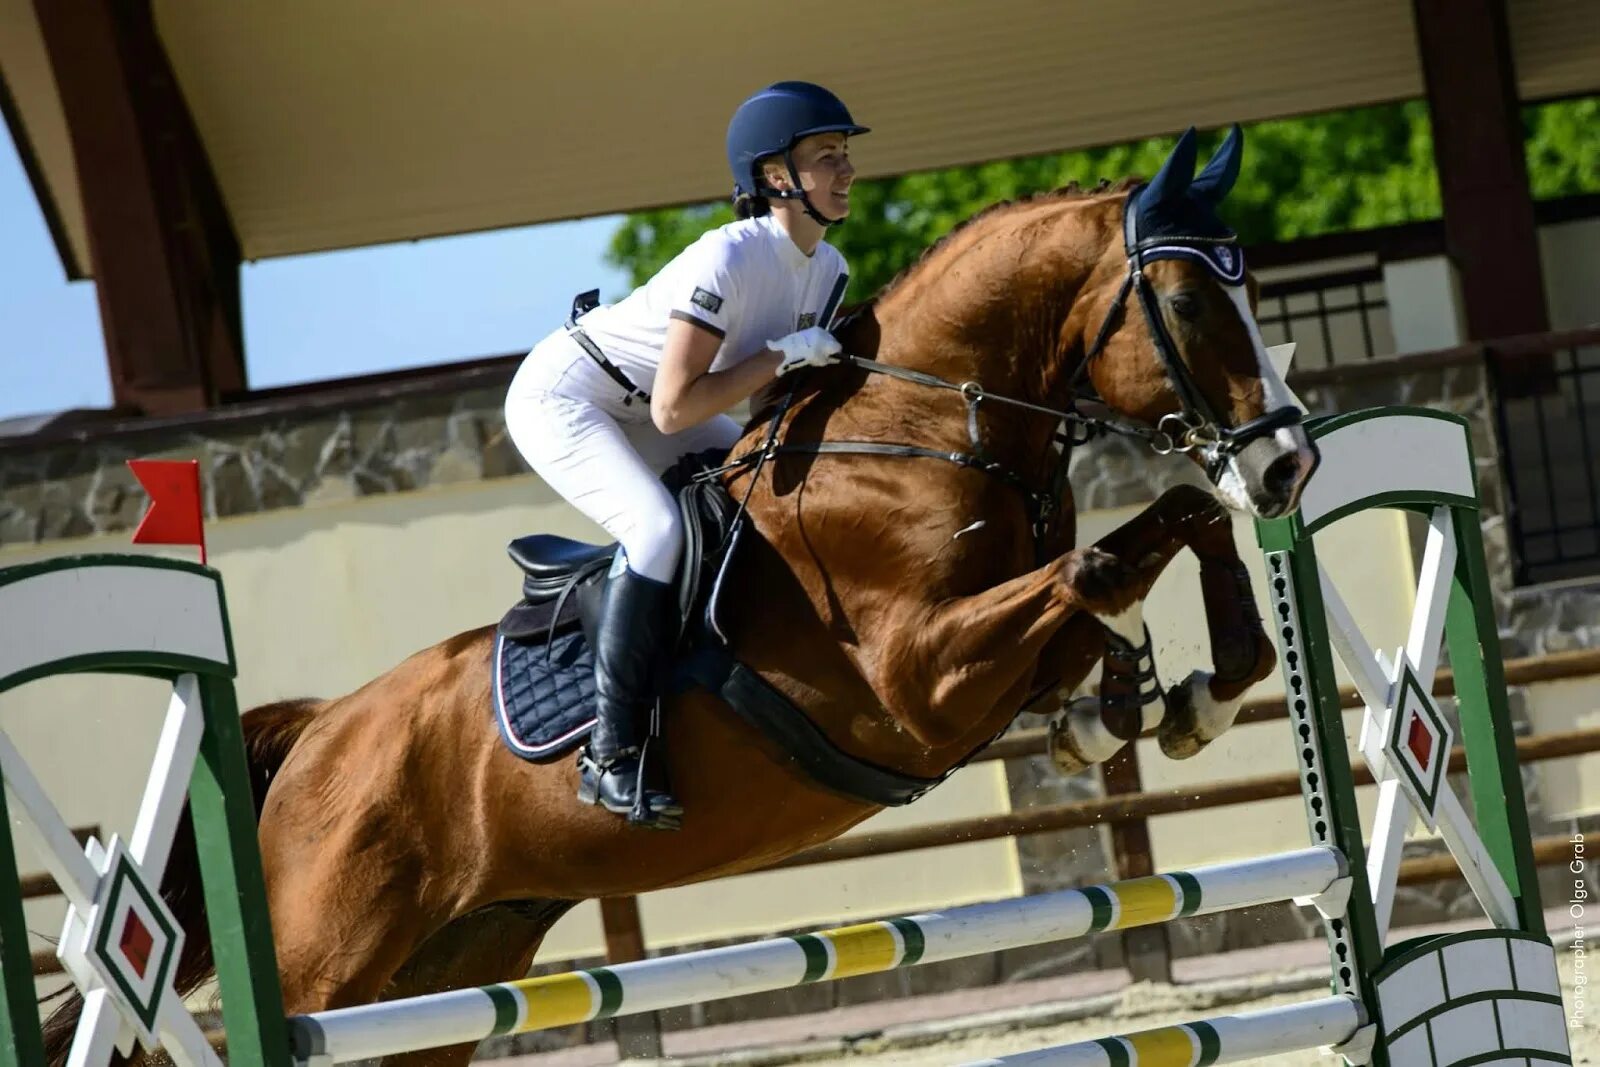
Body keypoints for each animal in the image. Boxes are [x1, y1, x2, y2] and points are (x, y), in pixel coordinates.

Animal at [50, 123, 1318, 1062]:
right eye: (1190, 304)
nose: (1287, 463)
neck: (920, 429)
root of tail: (318, 733)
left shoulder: (990, 657)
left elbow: (1173, 526)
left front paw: (1180, 695)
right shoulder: (918, 684)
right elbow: (1096, 568)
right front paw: (1140, 696)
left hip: (447, 967)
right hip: (330, 960)